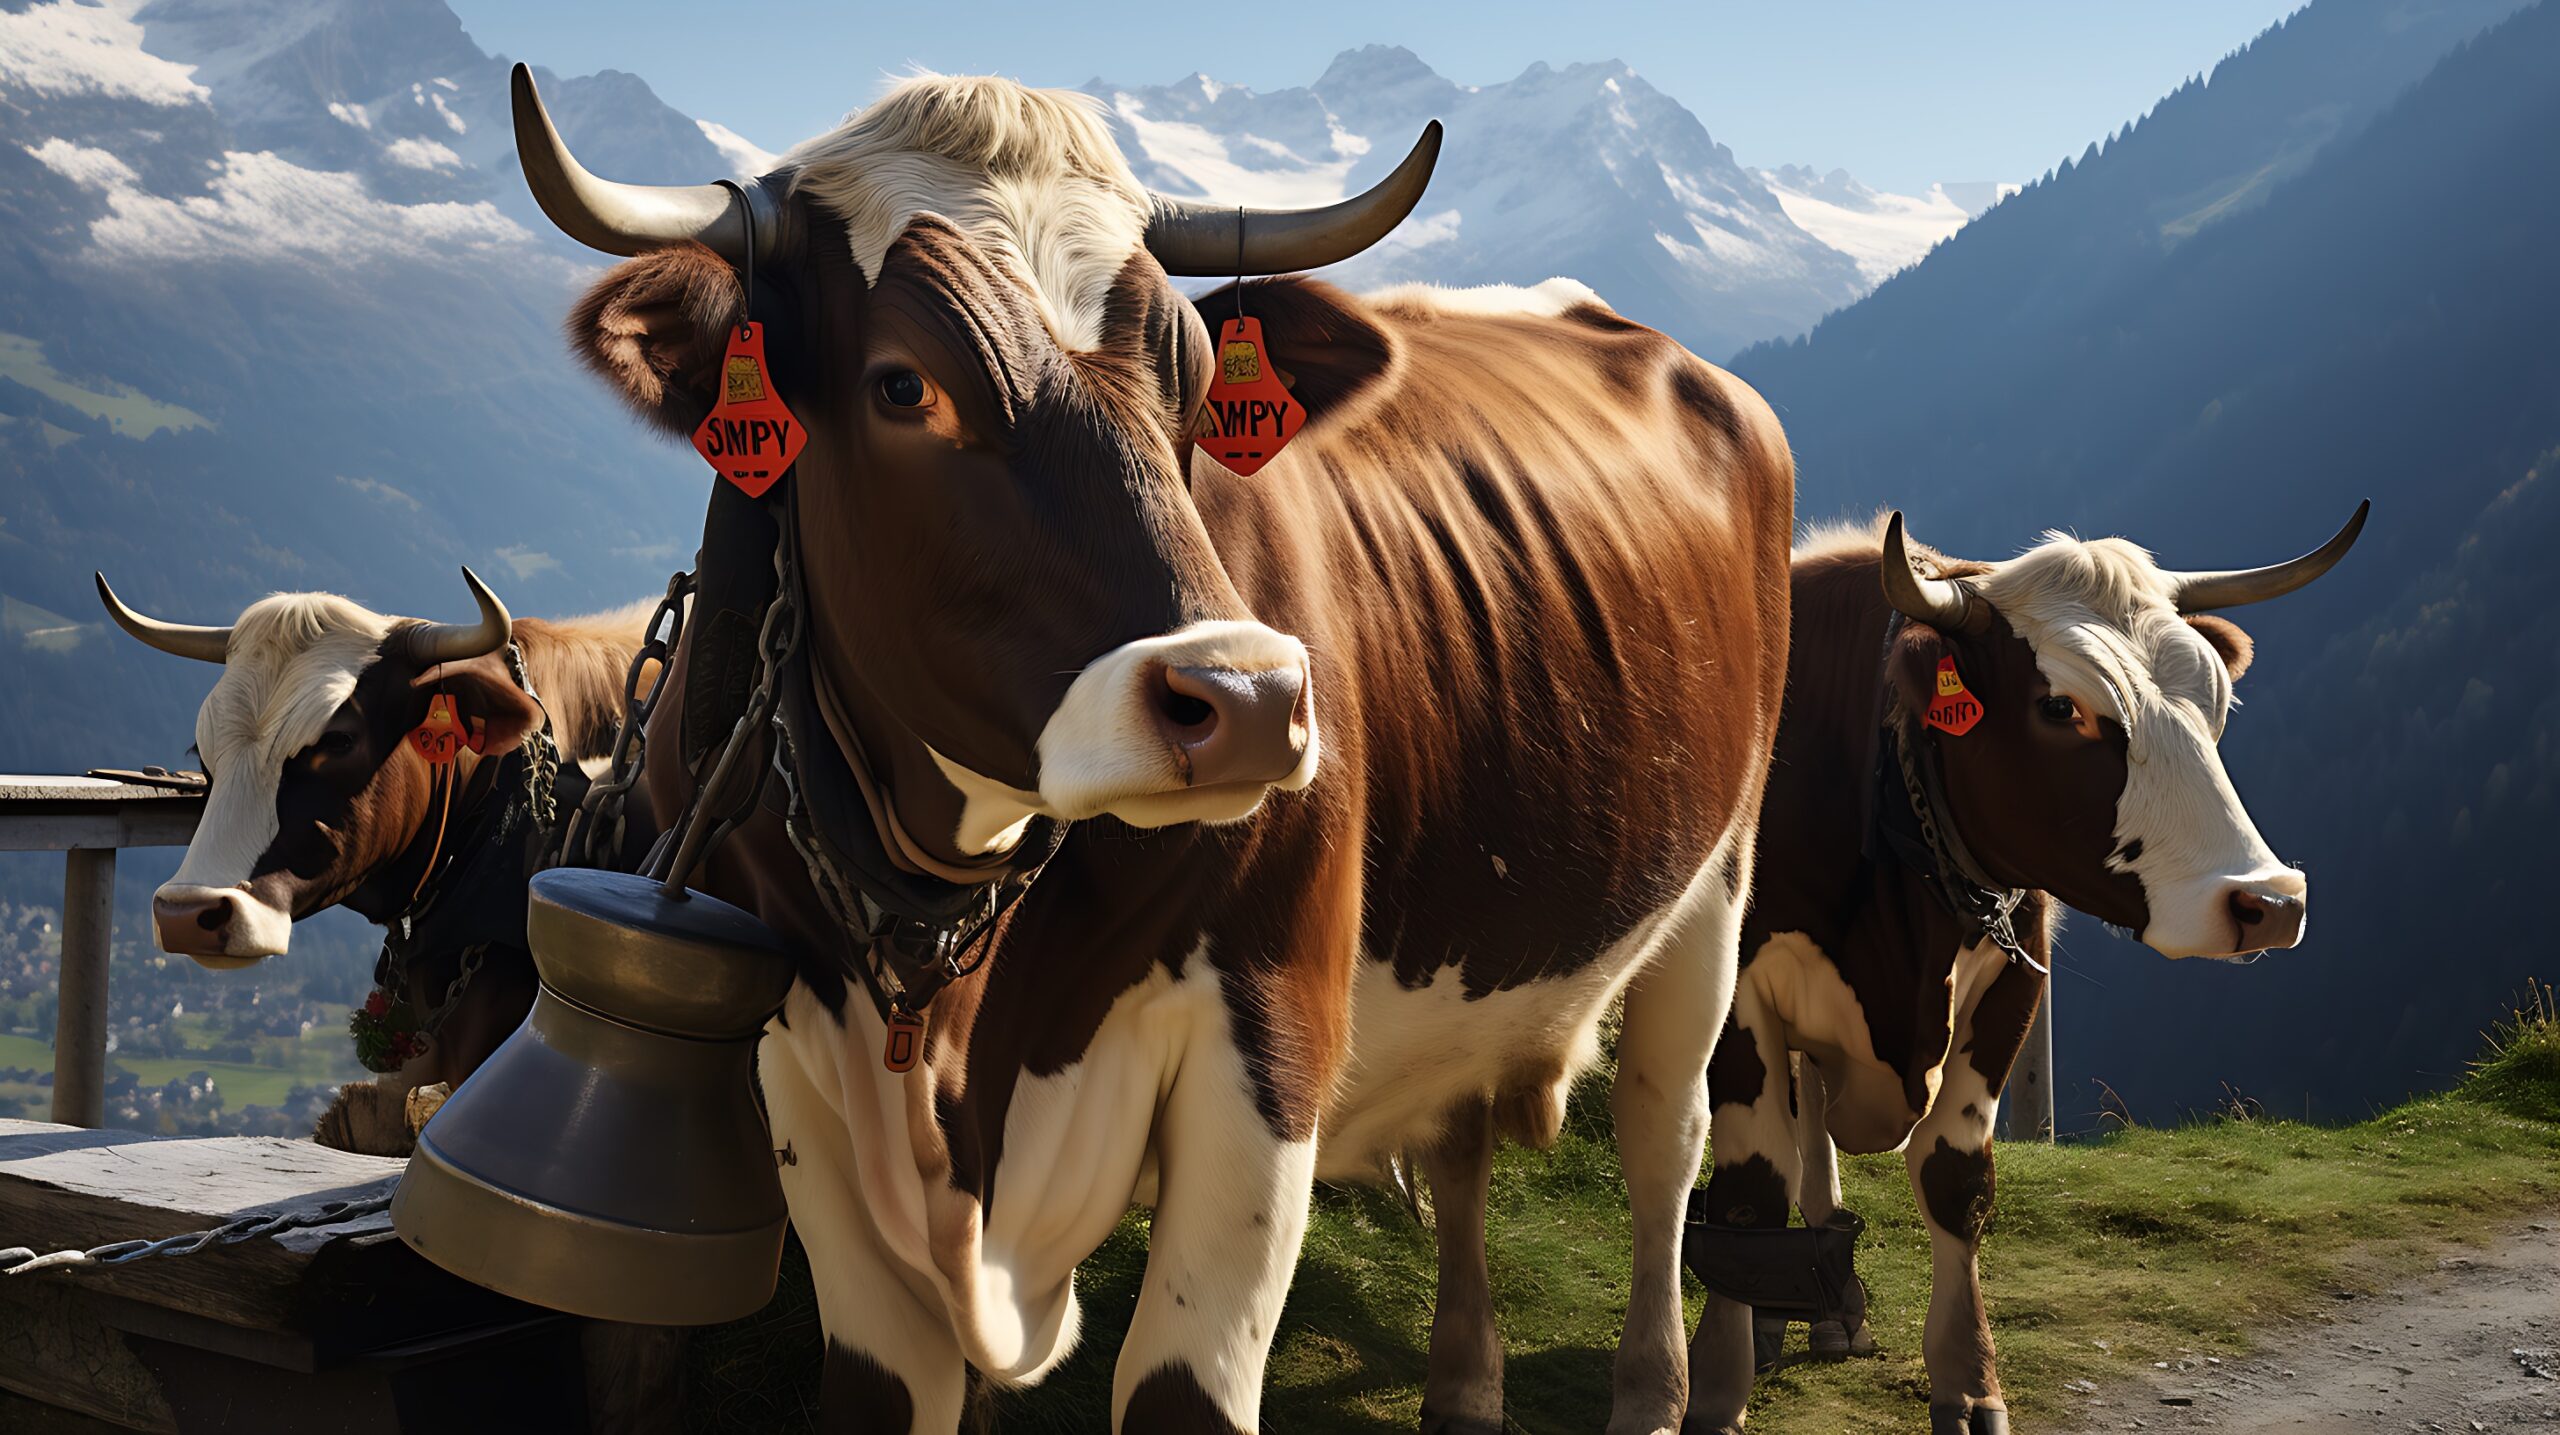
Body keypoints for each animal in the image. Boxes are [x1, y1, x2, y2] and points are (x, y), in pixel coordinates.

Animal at [509, 65, 1792, 1435]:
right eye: (905, 385)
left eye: (1192, 381)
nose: (1247, 698)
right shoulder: (802, 1076)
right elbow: (879, 1386)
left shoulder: (1266, 1051)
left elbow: (1183, 1386)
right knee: (1462, 1137)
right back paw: (1462, 1383)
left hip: (1715, 882)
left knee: (1665, 1135)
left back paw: (1662, 1387)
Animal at [1684, 505, 2366, 1435]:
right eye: (2058, 705)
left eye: (2217, 702)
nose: (2270, 901)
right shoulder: (1737, 989)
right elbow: (1749, 1190)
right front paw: (1718, 1385)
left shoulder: (2013, 980)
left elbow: (1956, 1181)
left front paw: (1971, 1384)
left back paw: (1830, 1308)